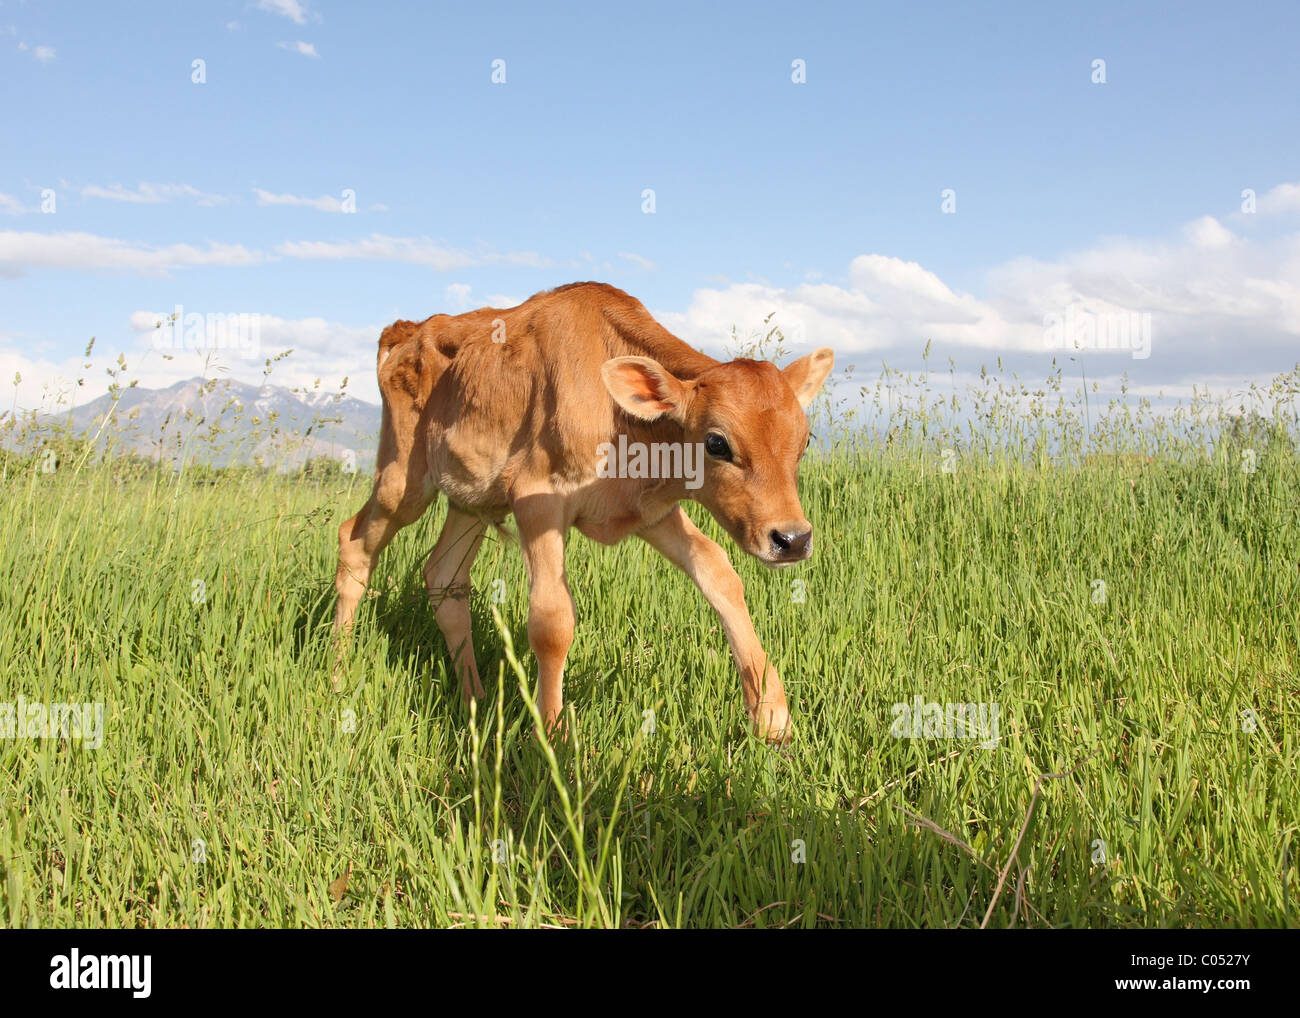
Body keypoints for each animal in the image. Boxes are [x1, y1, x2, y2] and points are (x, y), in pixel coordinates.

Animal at [333, 282, 833, 743]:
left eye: (805, 439)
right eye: (716, 442)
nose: (792, 539)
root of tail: (409, 328)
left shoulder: (651, 511)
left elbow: (720, 574)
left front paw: (771, 713)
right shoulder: (538, 498)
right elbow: (551, 621)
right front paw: (552, 737)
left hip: (471, 497)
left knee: (444, 576)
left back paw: (474, 699)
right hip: (403, 479)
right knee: (354, 543)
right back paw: (337, 675)